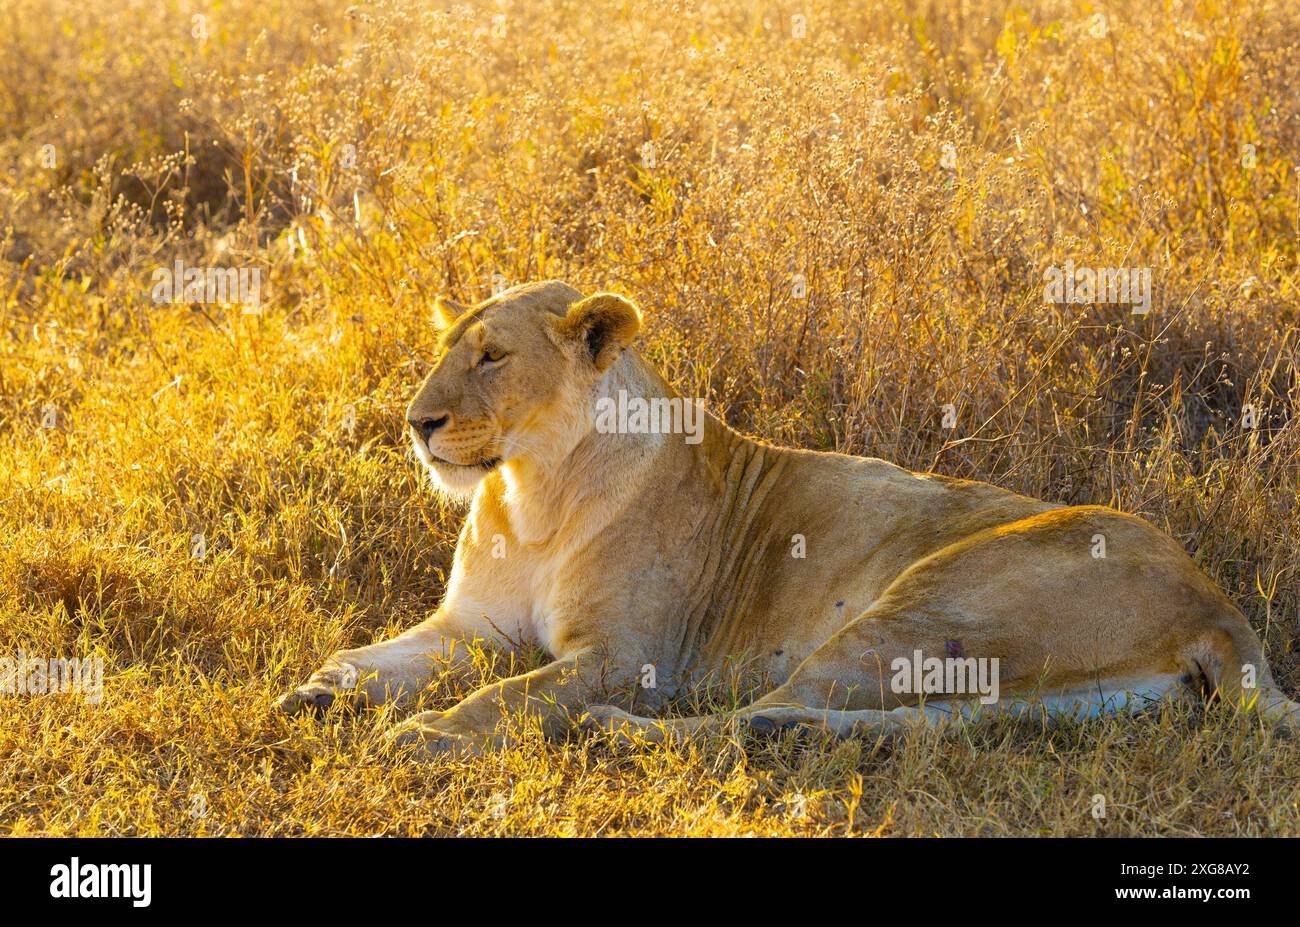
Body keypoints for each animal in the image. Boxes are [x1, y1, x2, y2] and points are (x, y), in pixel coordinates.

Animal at [278, 280, 1300, 754]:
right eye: (450, 350)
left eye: (491, 357)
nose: (416, 422)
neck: (526, 492)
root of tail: (1219, 605)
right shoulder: (470, 626)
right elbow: (380, 654)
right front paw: (320, 689)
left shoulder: (628, 652)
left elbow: (512, 695)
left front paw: (427, 734)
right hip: (1023, 690)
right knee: (873, 723)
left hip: (930, 602)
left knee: (748, 715)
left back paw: (617, 730)